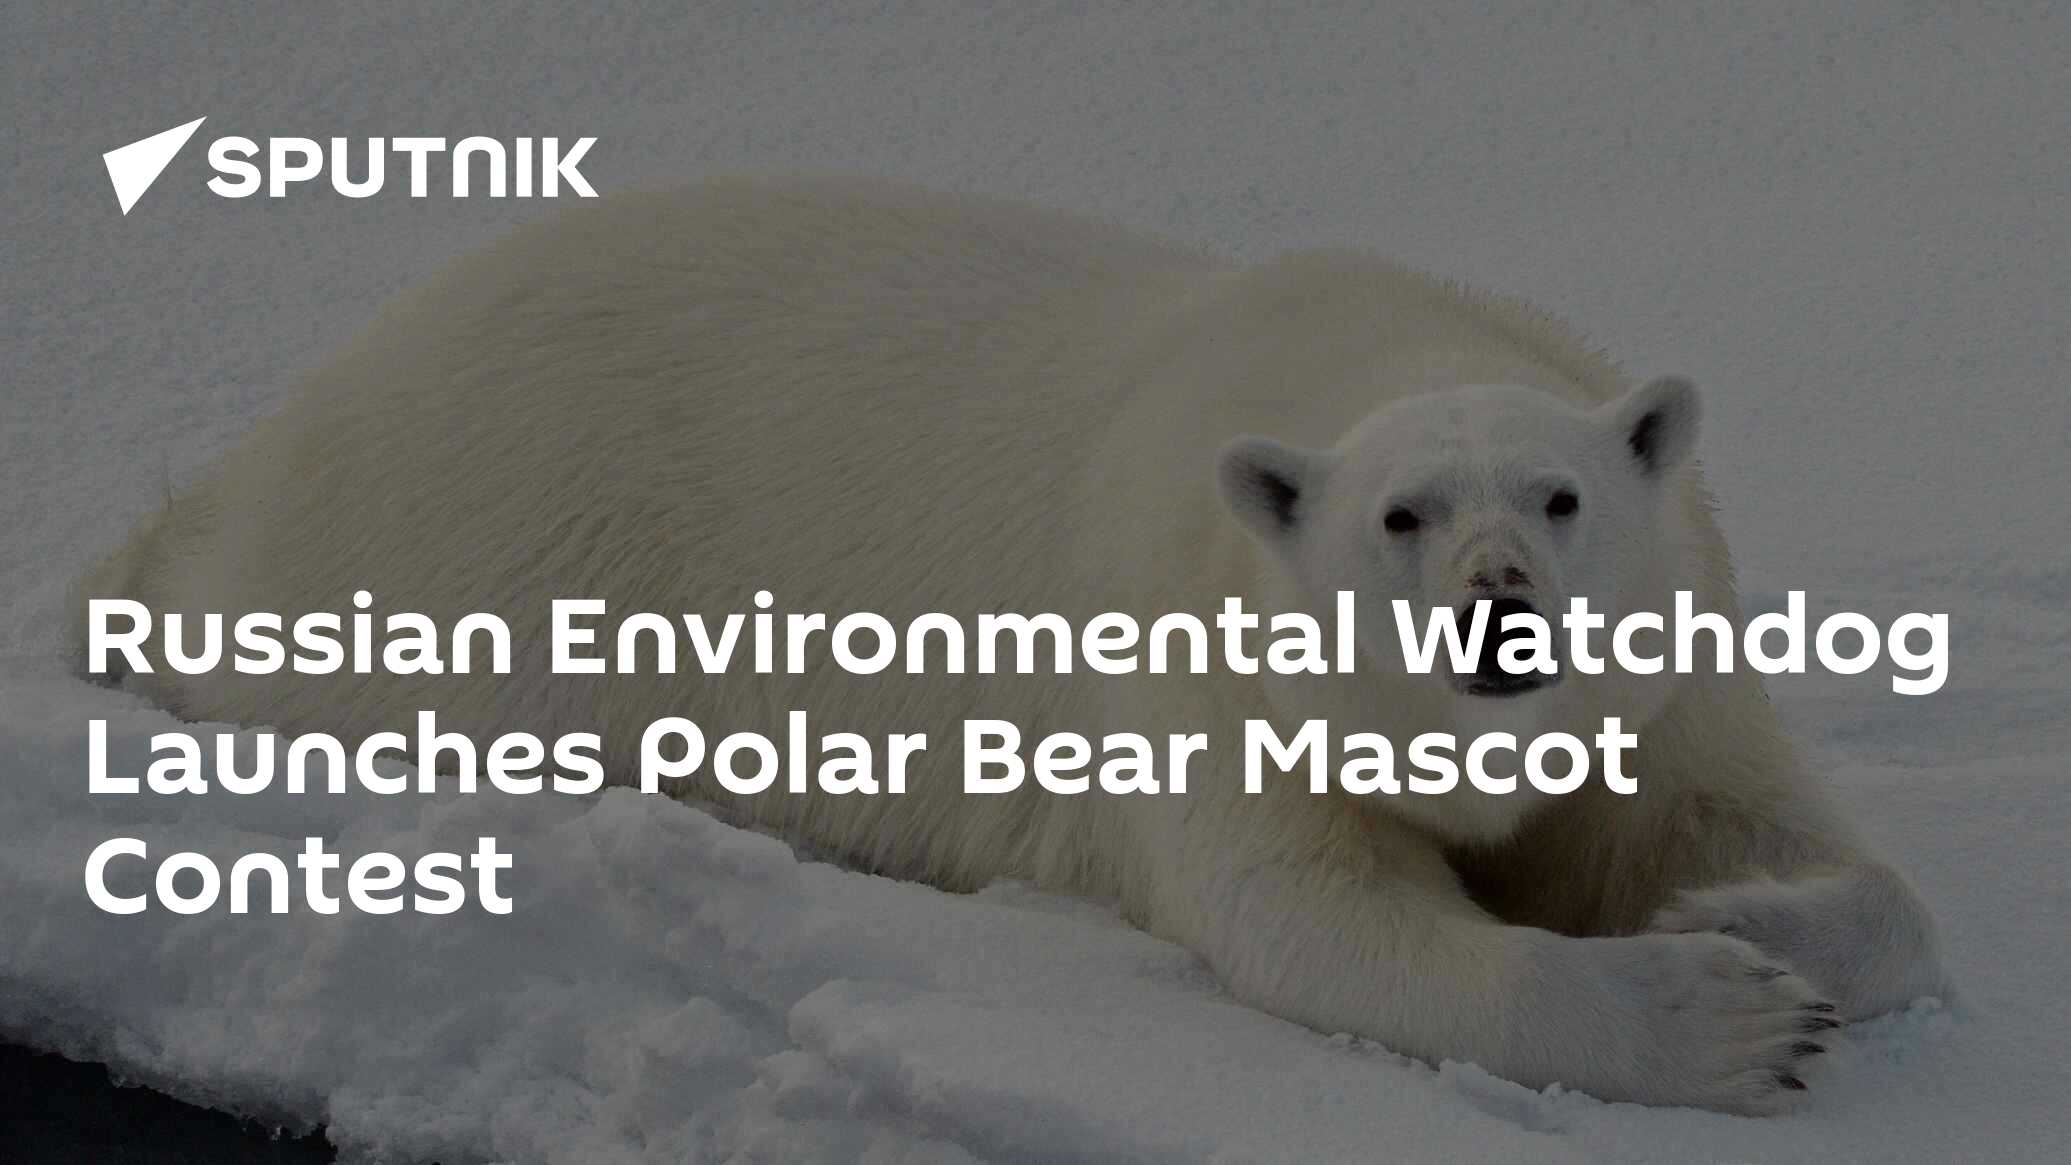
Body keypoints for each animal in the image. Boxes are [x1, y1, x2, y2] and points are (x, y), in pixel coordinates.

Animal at [74, 174, 1944, 1113]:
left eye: (1559, 498)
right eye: (1399, 519)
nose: (1496, 605)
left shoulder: (1671, 654)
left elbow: (1775, 837)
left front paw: (1738, 915)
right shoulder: (1194, 652)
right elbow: (1312, 916)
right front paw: (1723, 1017)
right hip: (499, 553)